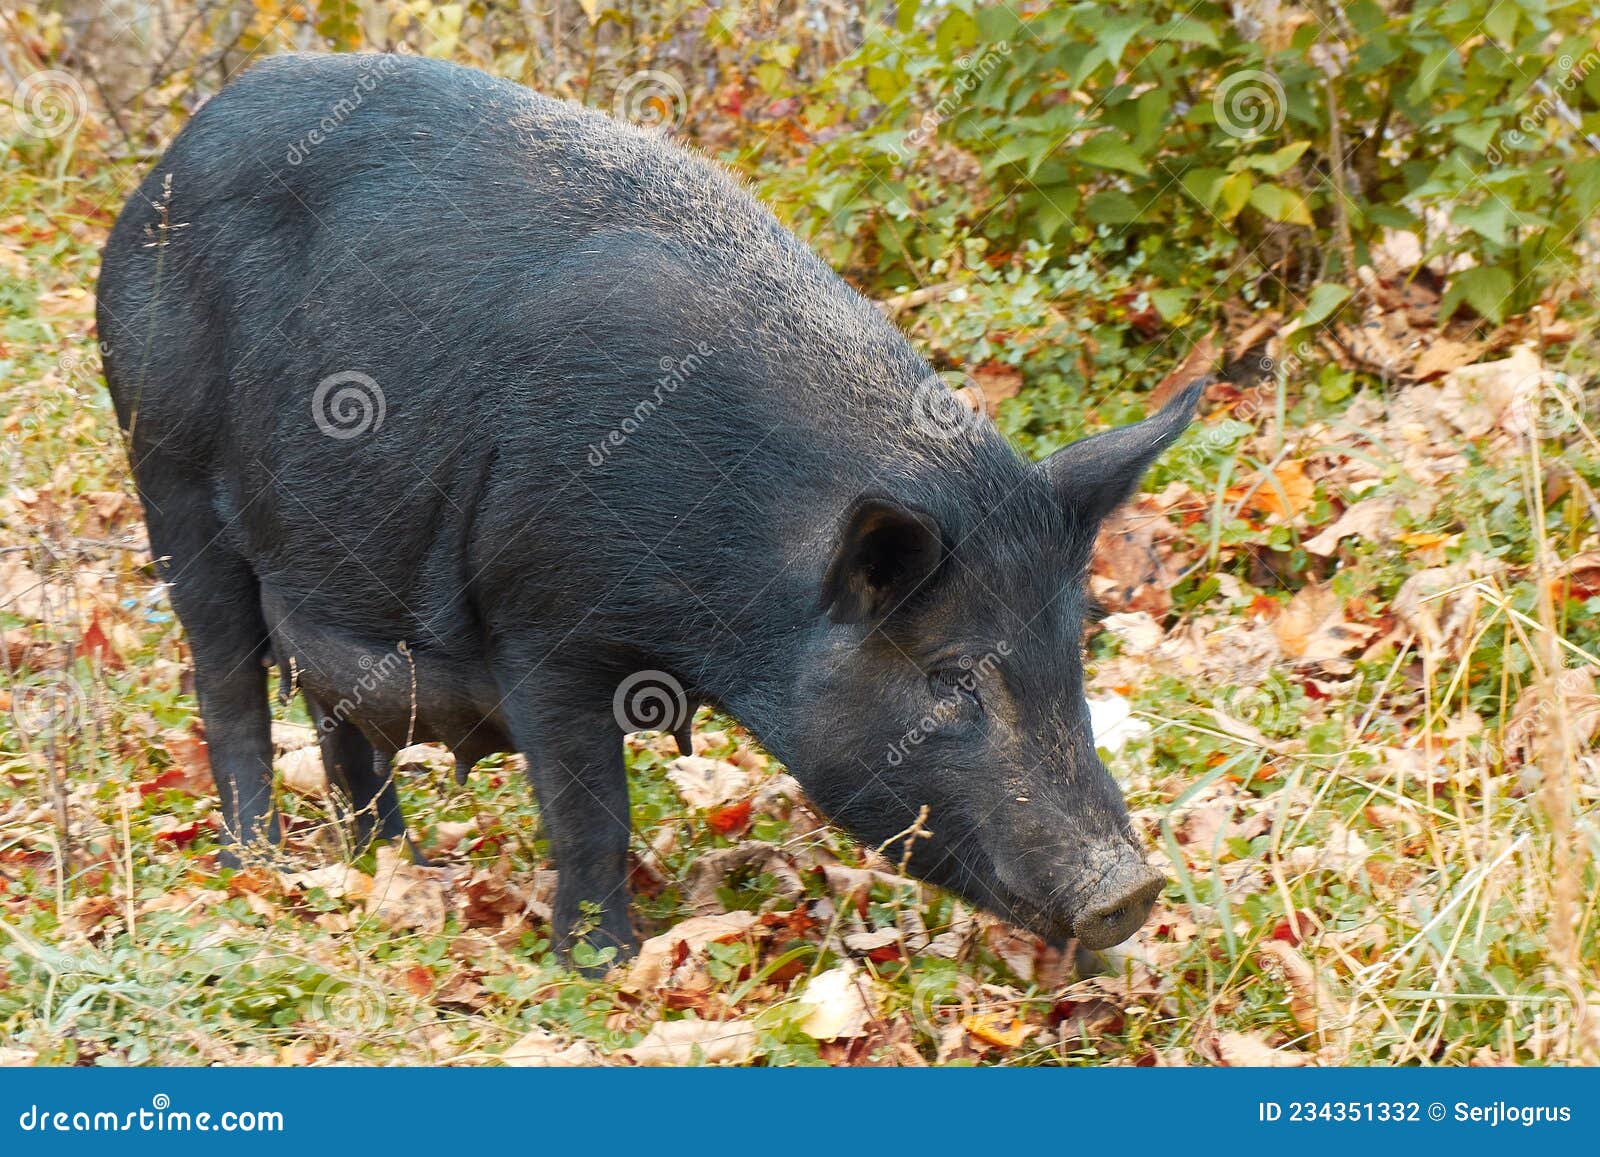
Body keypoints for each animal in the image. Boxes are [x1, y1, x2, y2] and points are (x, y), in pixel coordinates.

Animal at [98, 53, 1200, 960]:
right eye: (951, 676)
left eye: (1073, 653)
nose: (1131, 889)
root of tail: (163, 165)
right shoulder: (538, 619)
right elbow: (592, 807)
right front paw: (602, 963)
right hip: (167, 471)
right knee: (226, 682)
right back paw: (260, 865)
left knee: (339, 712)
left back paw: (393, 868)